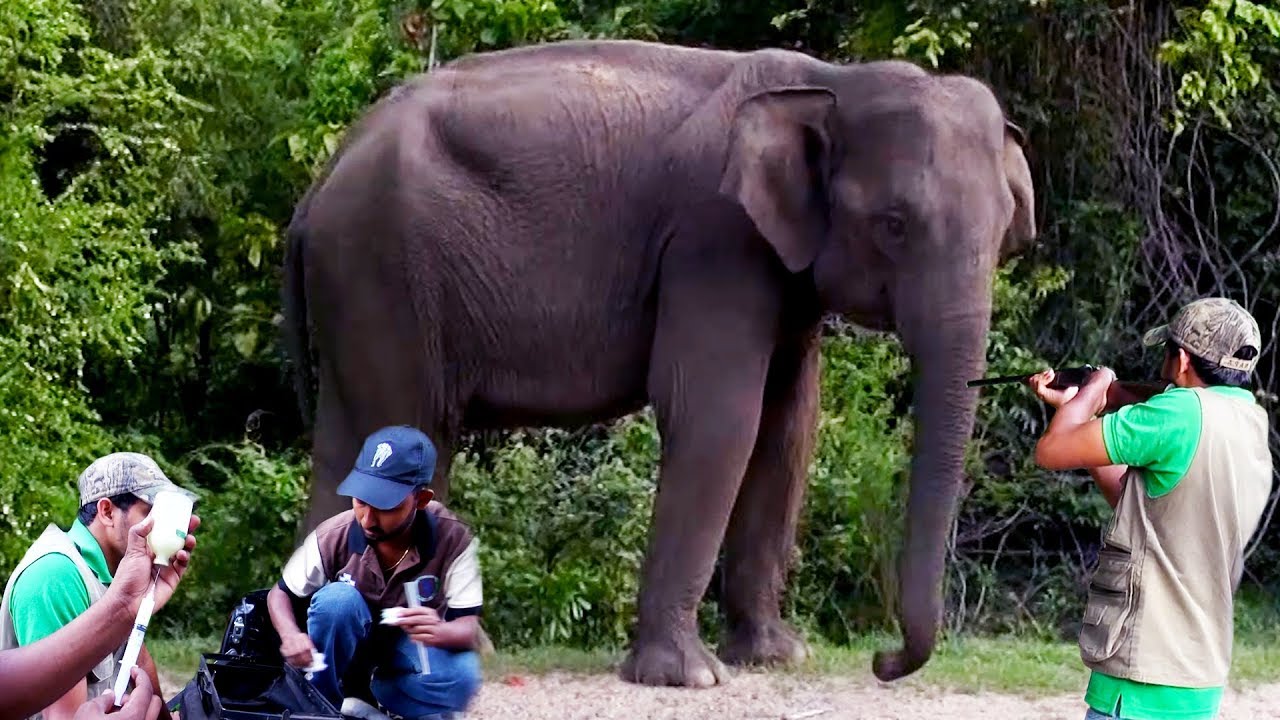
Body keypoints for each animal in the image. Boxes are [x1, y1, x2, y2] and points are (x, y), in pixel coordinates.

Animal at [281, 38, 1036, 688]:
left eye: (1006, 229)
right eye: (894, 224)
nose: (883, 662)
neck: (834, 81)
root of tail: (320, 183)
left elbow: (787, 430)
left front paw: (777, 657)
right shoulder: (714, 240)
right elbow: (719, 418)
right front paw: (691, 677)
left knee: (349, 442)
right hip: (383, 269)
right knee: (412, 427)